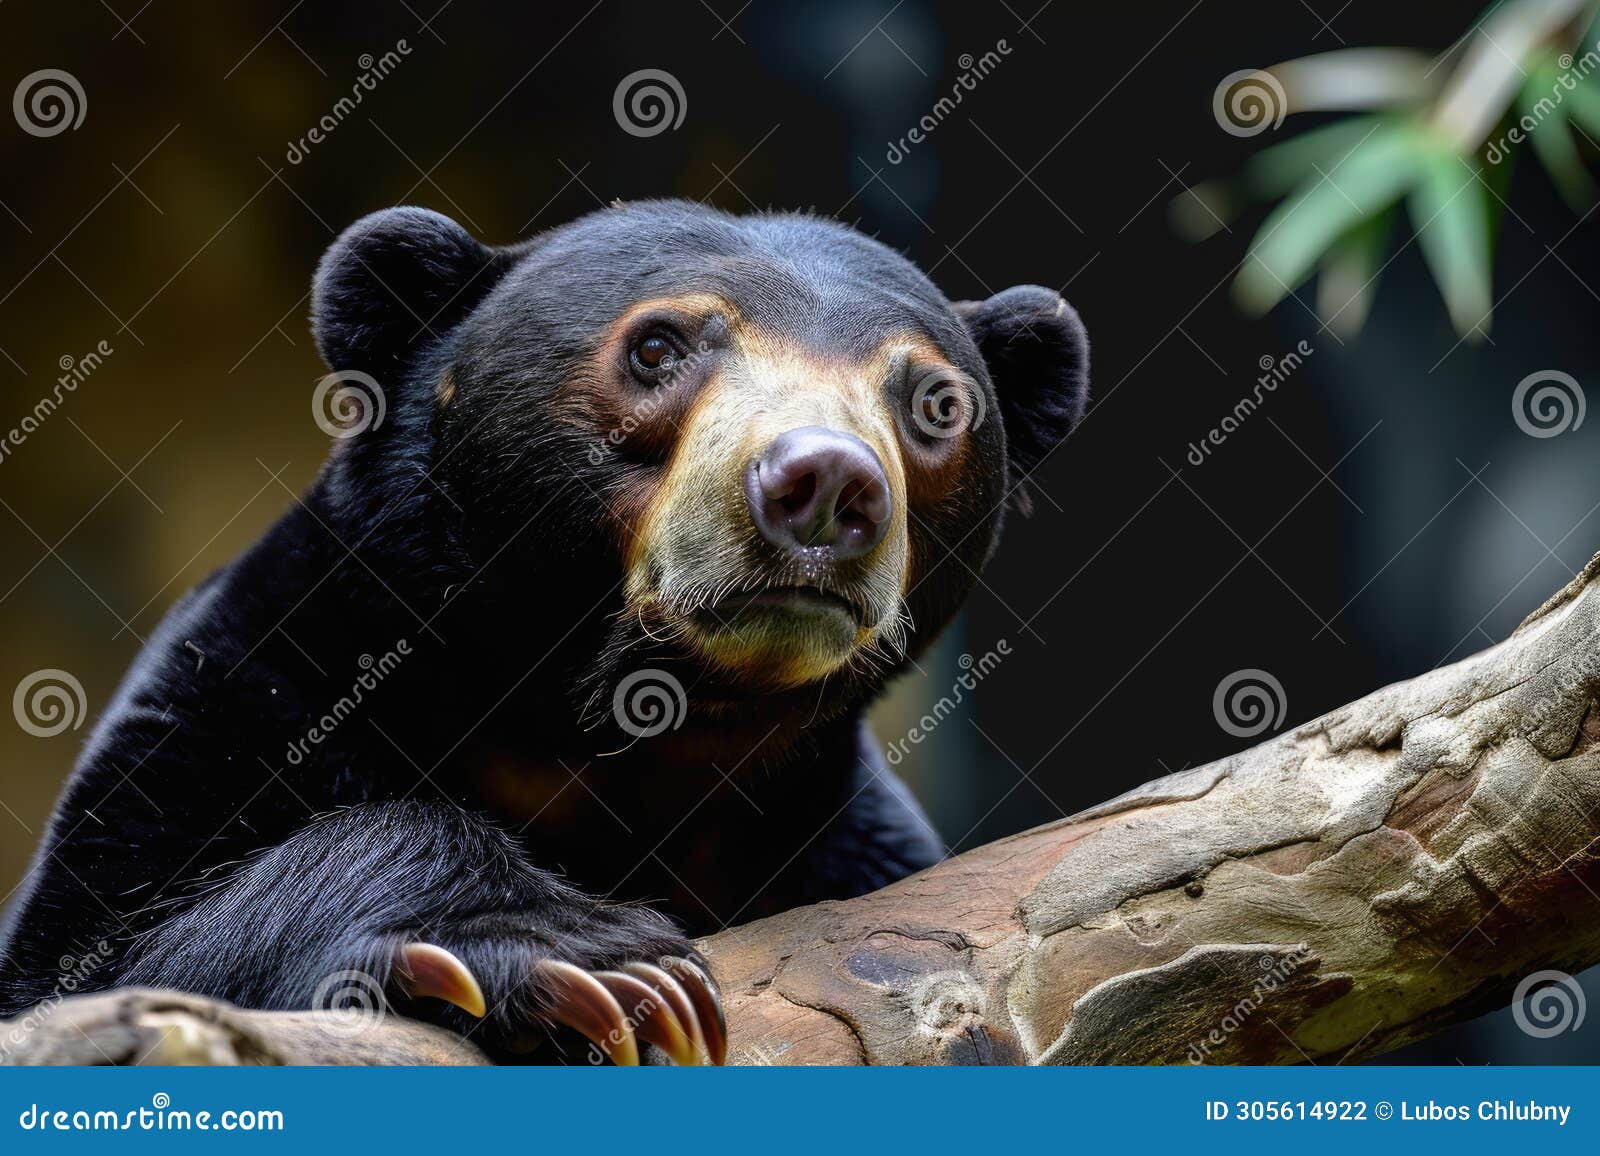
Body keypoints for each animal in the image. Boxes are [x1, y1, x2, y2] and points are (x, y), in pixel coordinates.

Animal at [0, 201, 1088, 1064]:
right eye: (657, 348)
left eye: (933, 401)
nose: (824, 483)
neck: (602, 736)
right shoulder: (243, 692)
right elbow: (88, 966)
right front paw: (594, 963)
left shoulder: (851, 840)